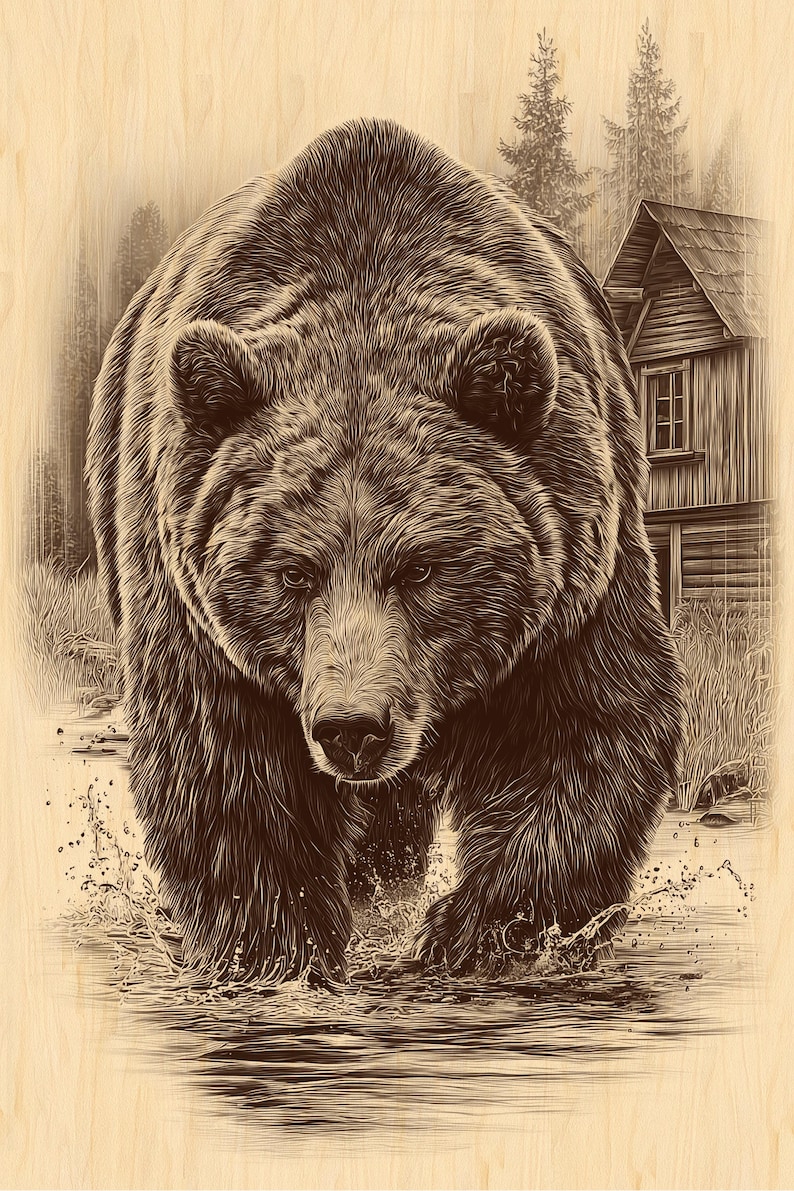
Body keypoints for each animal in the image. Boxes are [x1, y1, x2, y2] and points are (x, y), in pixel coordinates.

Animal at [87, 117, 684, 984]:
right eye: (292, 571)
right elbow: (226, 767)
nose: (352, 726)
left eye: (423, 566)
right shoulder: (195, 601)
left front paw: (475, 932)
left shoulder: (573, 572)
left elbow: (581, 735)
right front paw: (279, 946)